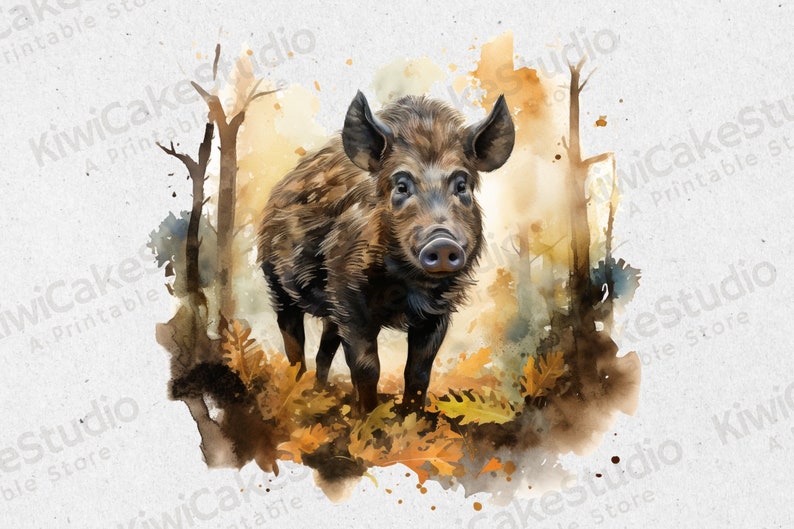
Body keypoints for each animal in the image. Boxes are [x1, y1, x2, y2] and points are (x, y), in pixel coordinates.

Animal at [257, 91, 514, 413]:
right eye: (401, 186)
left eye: (461, 185)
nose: (442, 242)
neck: (407, 286)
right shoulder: (349, 298)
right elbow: (366, 367)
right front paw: (369, 417)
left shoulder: (439, 311)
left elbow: (418, 371)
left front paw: (412, 419)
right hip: (277, 284)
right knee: (293, 345)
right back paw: (298, 397)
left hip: (329, 311)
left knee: (323, 351)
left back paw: (320, 393)